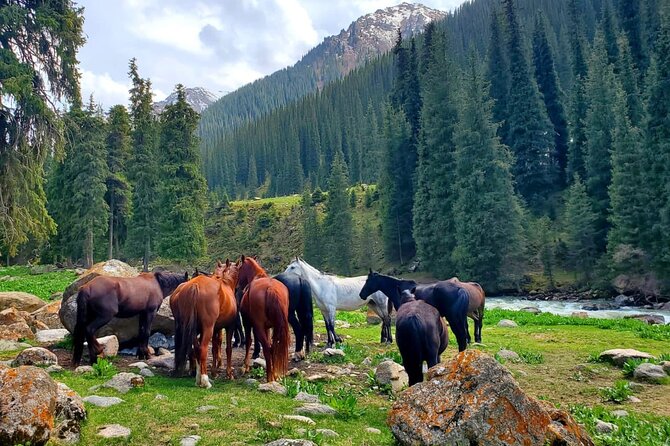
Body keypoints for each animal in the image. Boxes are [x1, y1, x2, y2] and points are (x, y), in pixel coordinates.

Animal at [170, 259, 239, 388]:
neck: (225, 283)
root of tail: (195, 285)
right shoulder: (229, 326)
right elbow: (228, 348)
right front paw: (228, 374)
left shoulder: (214, 328)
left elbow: (215, 347)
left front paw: (214, 371)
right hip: (207, 328)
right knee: (202, 349)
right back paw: (205, 380)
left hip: (190, 328)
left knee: (196, 349)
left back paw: (197, 378)